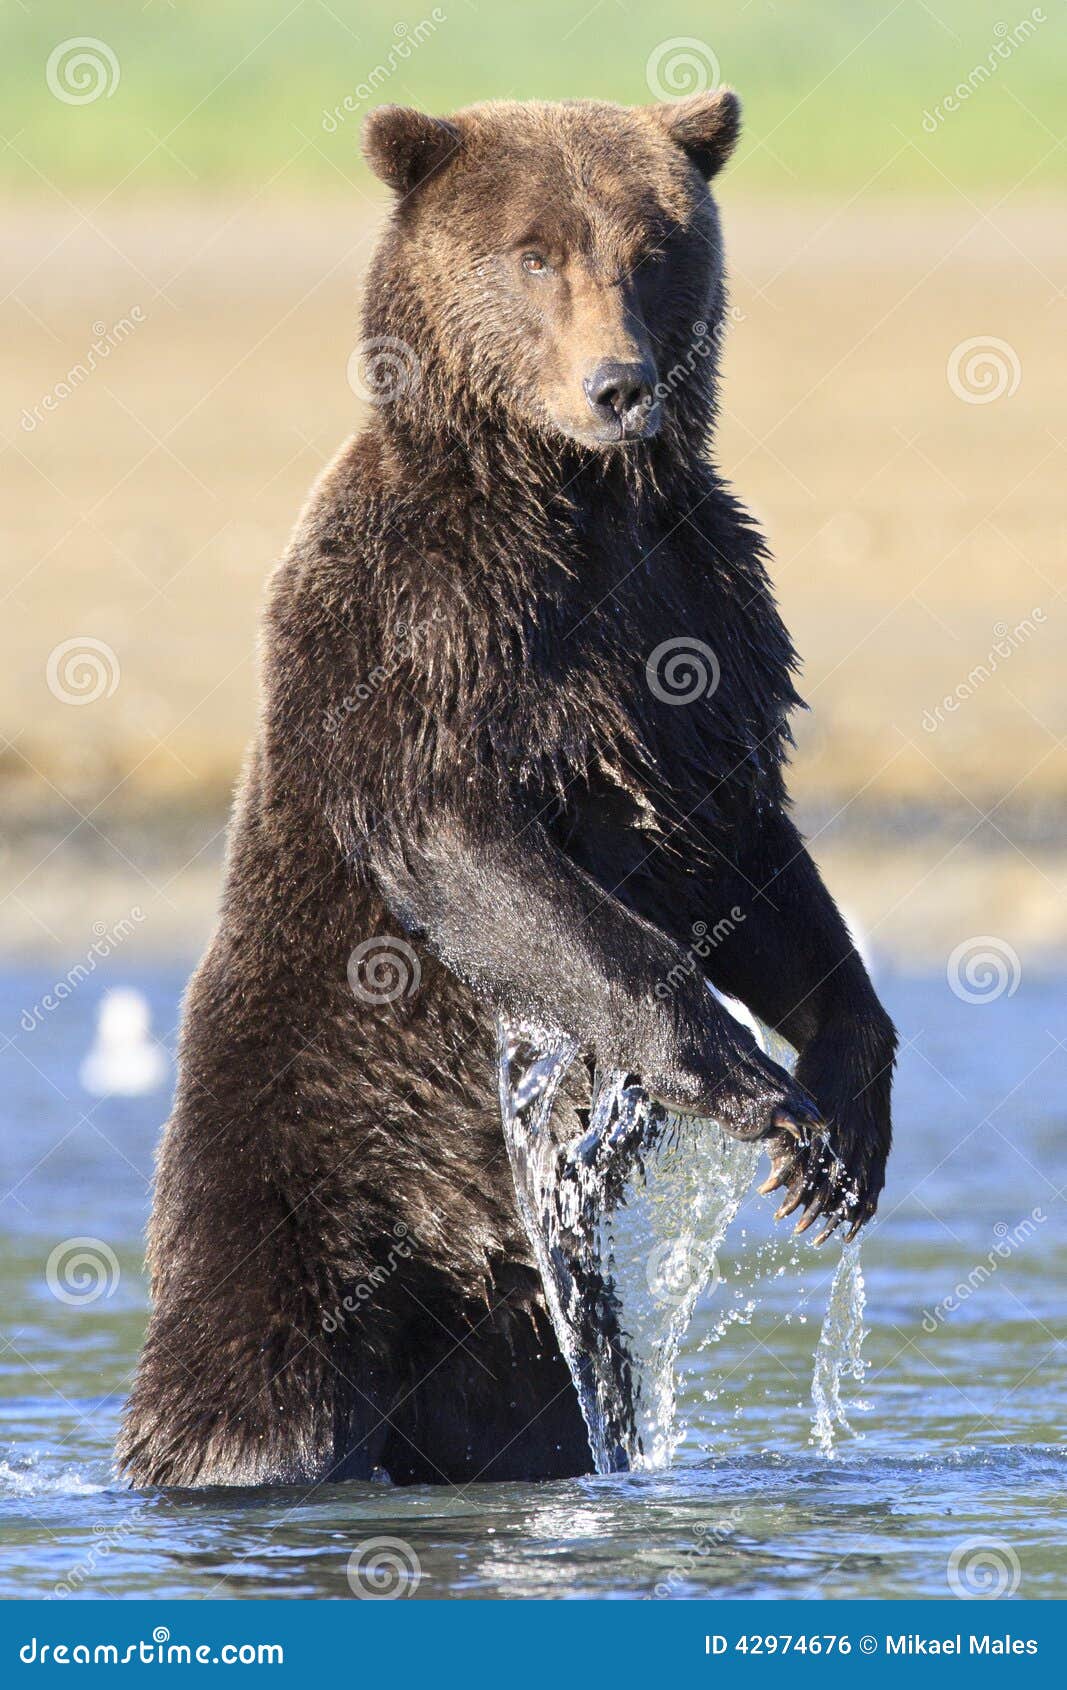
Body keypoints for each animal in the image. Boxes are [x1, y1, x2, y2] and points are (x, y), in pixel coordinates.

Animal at [117, 92, 897, 1489]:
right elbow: (467, 841)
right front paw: (746, 1080)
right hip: (286, 1191)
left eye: (652, 247)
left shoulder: (698, 617)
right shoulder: (432, 619)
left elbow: (751, 855)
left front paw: (839, 1123)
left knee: (534, 1412)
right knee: (250, 1397)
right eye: (533, 253)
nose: (619, 385)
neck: (570, 499)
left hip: (509, 1340)